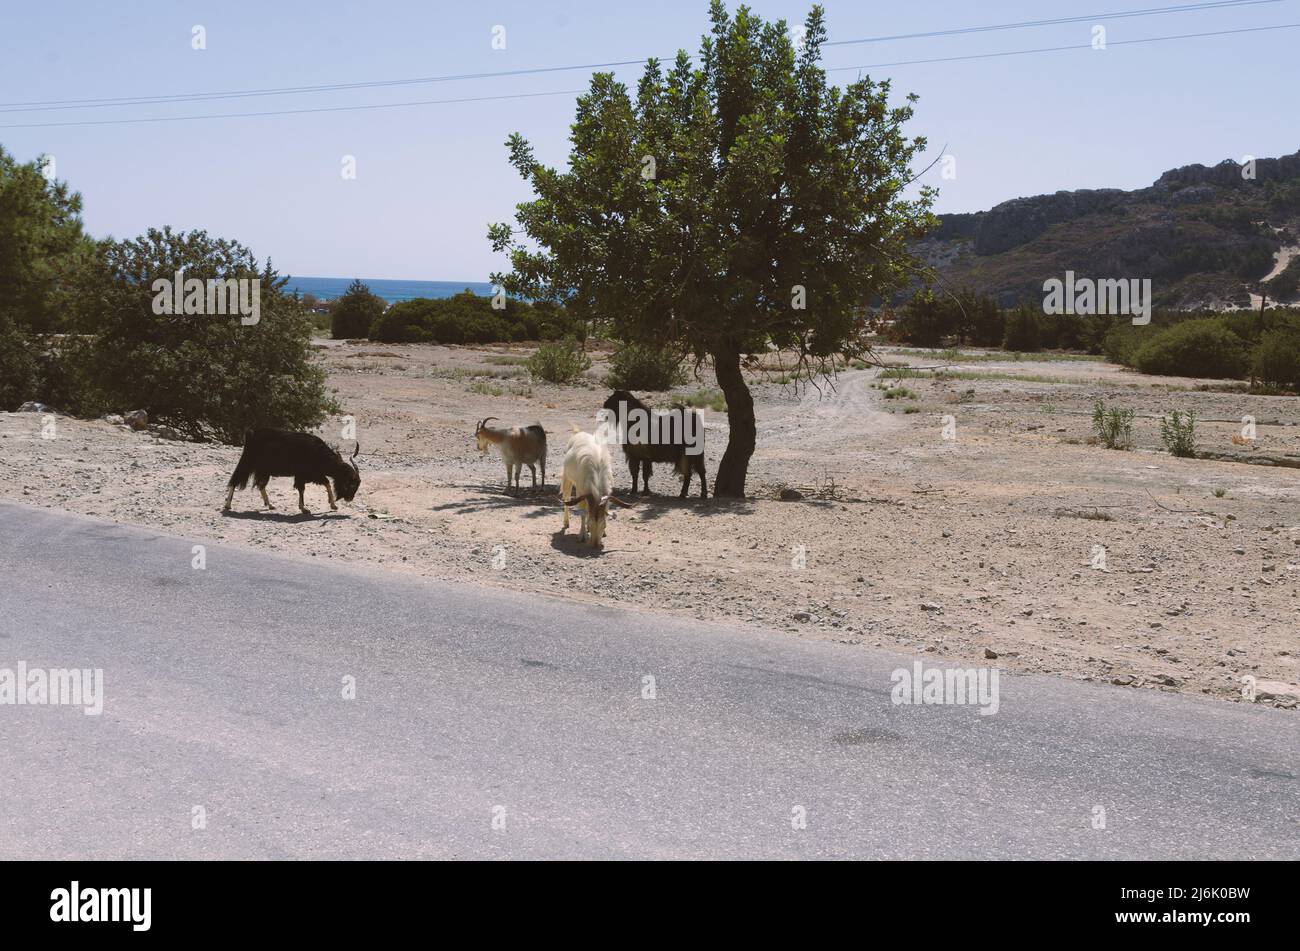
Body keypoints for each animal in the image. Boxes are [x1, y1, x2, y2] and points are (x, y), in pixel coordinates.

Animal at [224, 428, 360, 515]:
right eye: (352, 484)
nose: (350, 499)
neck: (319, 453)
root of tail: (251, 434)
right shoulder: (307, 474)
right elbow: (309, 487)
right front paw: (305, 509)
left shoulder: (308, 475)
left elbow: (317, 485)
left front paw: (331, 505)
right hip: (248, 462)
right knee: (236, 479)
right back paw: (228, 505)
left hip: (264, 471)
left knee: (261, 486)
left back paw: (270, 505)